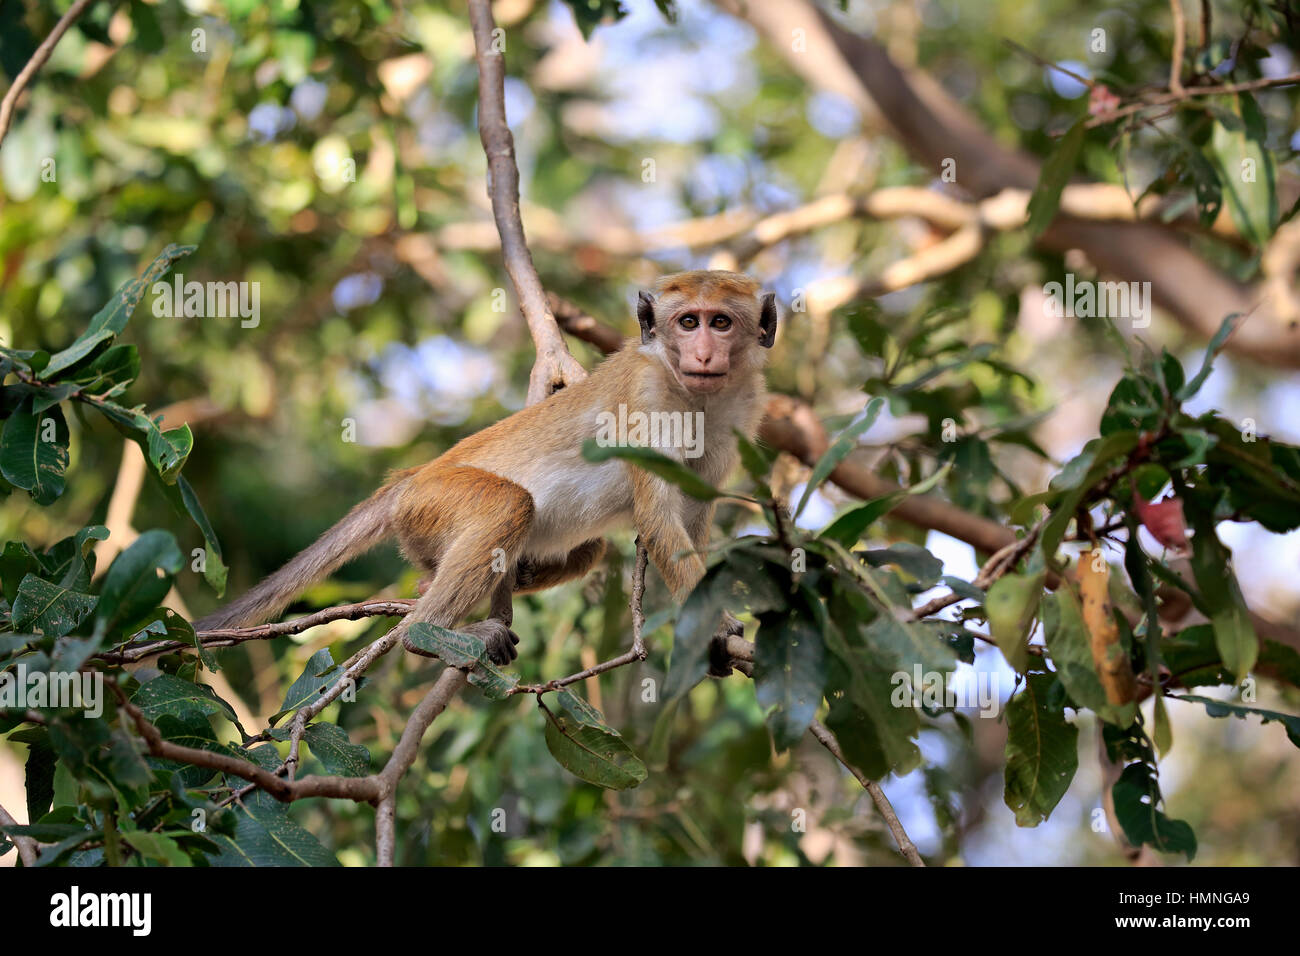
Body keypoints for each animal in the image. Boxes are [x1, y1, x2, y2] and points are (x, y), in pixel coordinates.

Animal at [196, 270, 779, 669]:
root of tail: (409, 478)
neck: (694, 397)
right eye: (688, 322)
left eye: (721, 322)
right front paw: (716, 625)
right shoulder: (646, 397)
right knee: (508, 504)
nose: (703, 353)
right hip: (435, 498)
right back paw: (428, 632)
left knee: (586, 548)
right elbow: (659, 518)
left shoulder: (744, 412)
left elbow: (693, 517)